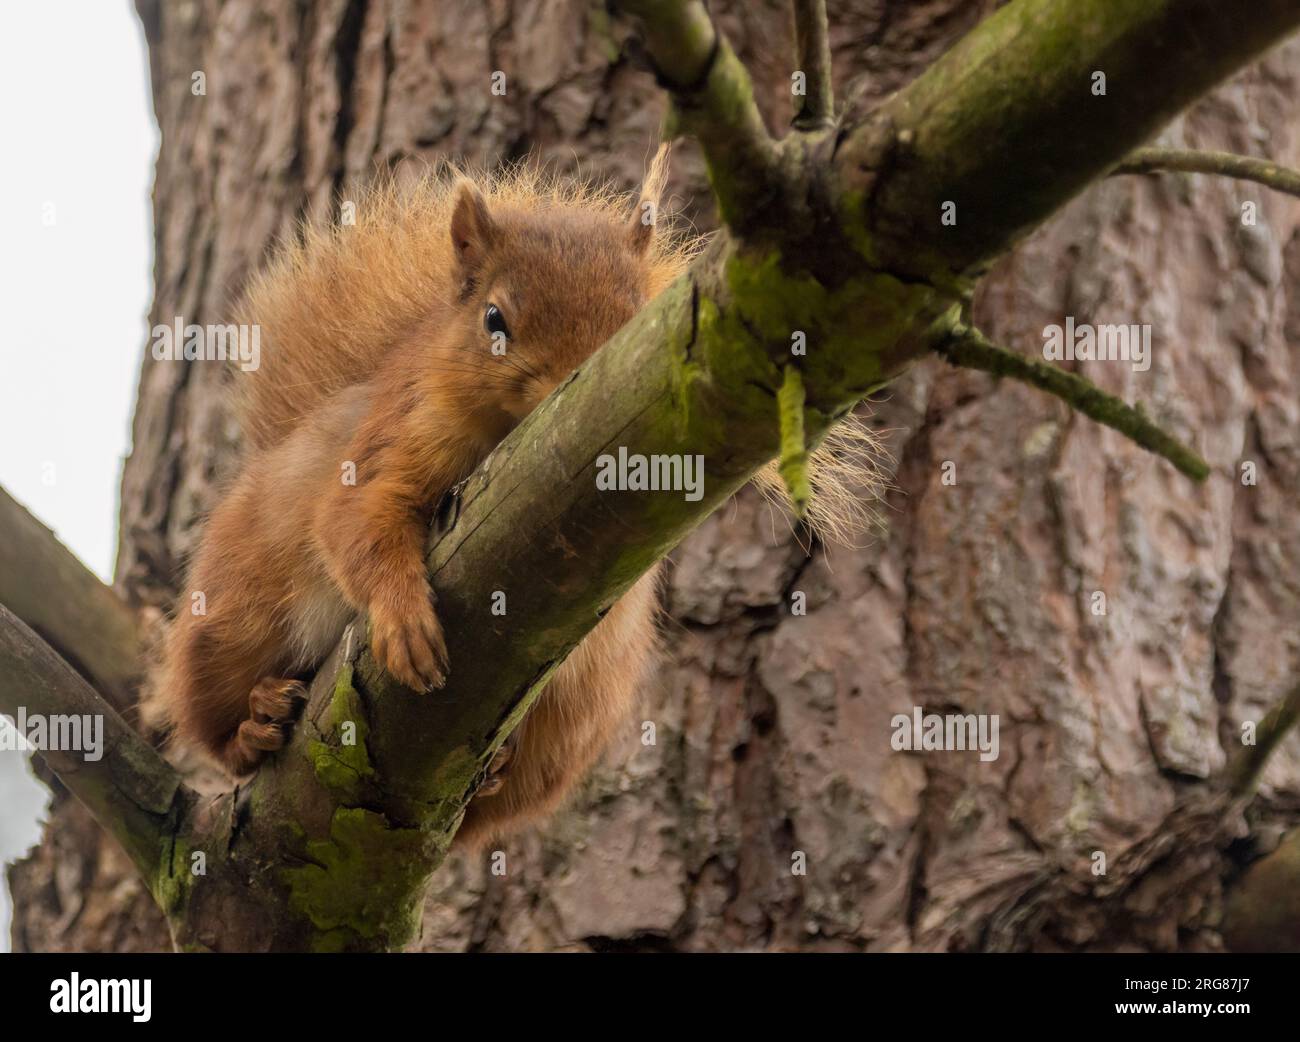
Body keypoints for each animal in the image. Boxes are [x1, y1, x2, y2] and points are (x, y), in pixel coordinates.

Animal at [150, 146, 881, 851]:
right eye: (494, 319)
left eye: (641, 314)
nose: (572, 383)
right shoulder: (396, 435)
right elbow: (355, 521)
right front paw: (405, 621)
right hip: (236, 617)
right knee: (208, 720)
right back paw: (254, 722)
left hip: (576, 711)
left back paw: (495, 772)